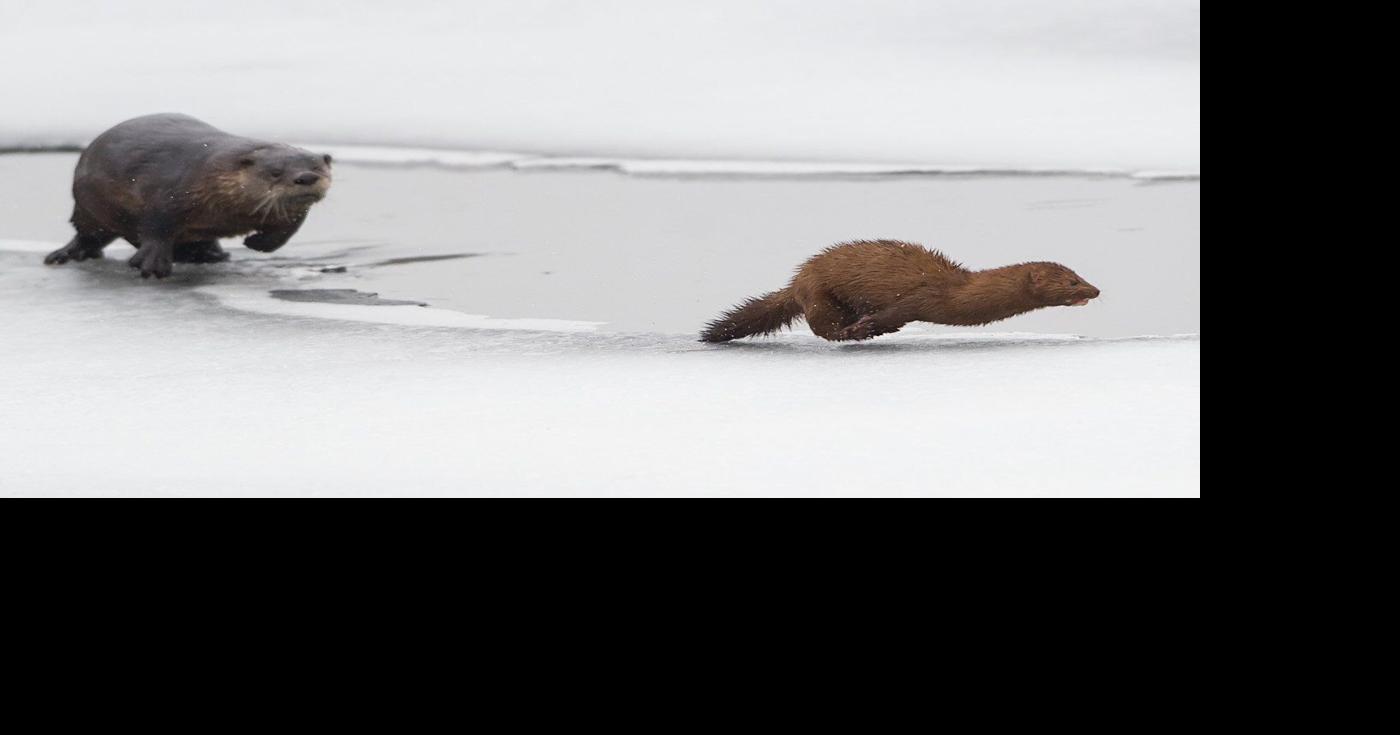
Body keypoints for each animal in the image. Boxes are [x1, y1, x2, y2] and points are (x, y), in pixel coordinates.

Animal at [43, 113, 332, 279]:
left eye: (318, 166)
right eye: (275, 172)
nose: (306, 177)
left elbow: (287, 230)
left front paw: (257, 243)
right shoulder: (169, 193)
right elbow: (156, 226)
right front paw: (152, 264)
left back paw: (213, 255)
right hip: (89, 207)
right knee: (87, 235)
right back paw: (62, 255)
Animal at [701, 240, 1101, 342]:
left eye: (1079, 274)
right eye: (1071, 281)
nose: (1095, 290)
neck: (957, 292)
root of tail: (796, 280)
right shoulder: (917, 299)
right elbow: (894, 312)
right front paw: (870, 327)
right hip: (819, 291)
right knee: (820, 325)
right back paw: (850, 332)